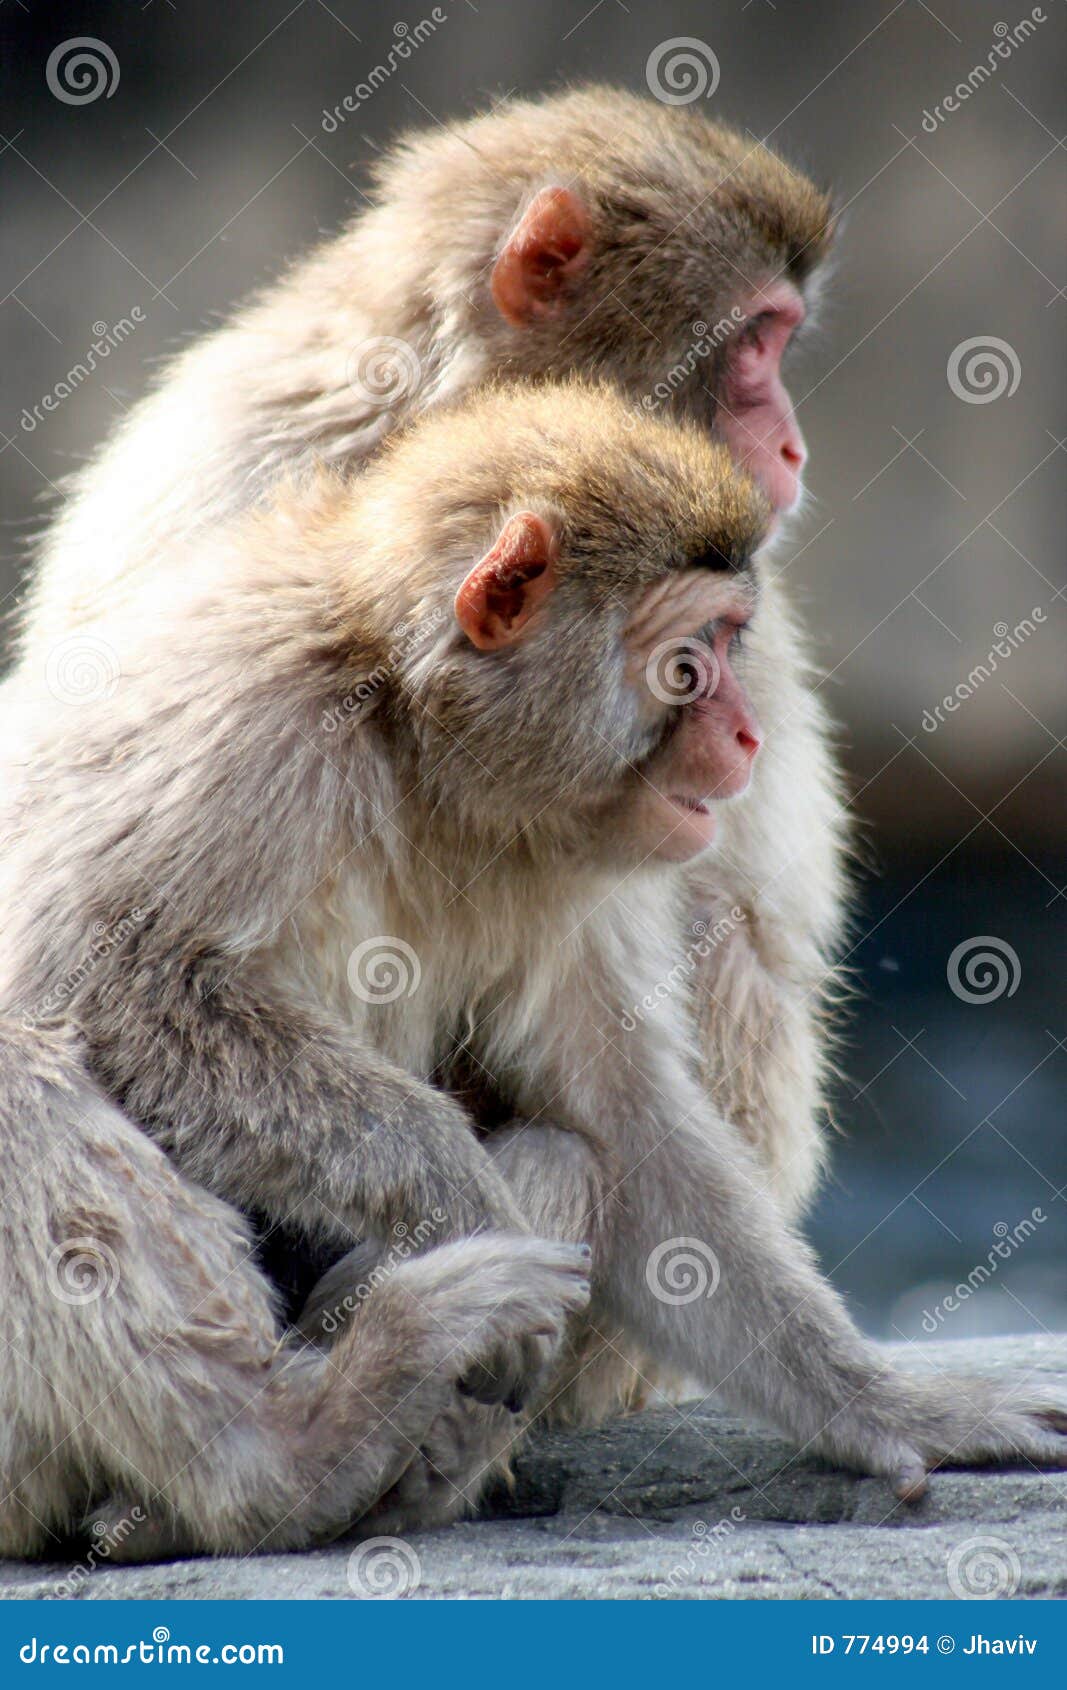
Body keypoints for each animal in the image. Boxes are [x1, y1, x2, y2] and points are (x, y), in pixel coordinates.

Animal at [2, 384, 1064, 1560]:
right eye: (689, 659)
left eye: (732, 643)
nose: (745, 736)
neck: (412, 741)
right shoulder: (253, 723)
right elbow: (105, 975)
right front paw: (451, 1184)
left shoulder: (577, 860)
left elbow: (627, 1125)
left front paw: (887, 1405)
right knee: (21, 1062)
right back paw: (296, 1453)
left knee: (566, 1156)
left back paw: (400, 1453)